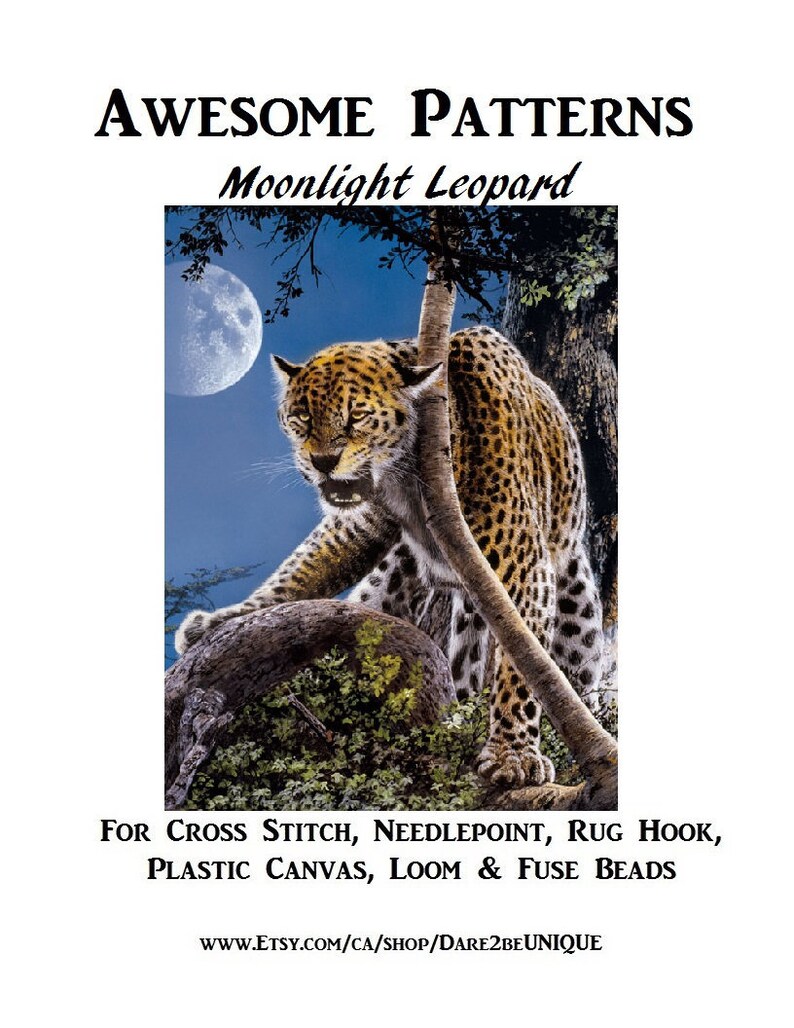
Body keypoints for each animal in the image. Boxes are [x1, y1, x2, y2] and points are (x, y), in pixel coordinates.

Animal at [175, 326, 604, 787]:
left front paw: (513, 754)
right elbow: (306, 567)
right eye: (302, 417)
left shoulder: (522, 568)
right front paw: (223, 620)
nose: (322, 462)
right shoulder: (361, 523)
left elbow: (524, 667)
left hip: (576, 615)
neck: (411, 473)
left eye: (358, 415)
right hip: (390, 581)